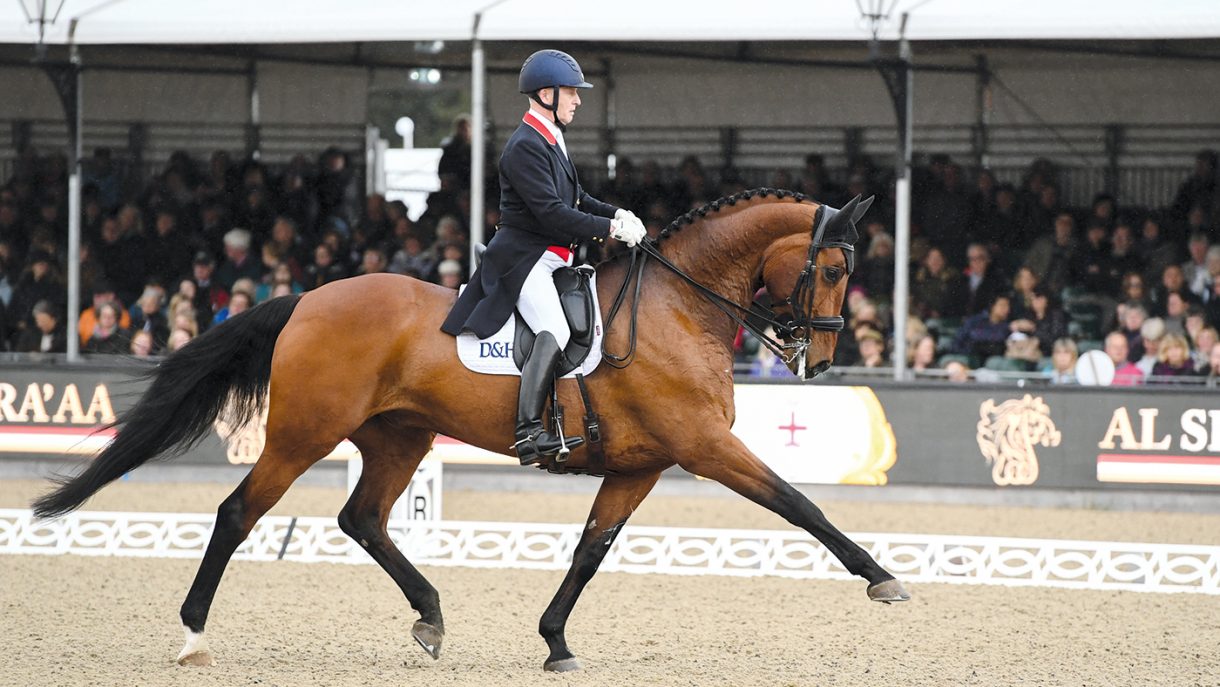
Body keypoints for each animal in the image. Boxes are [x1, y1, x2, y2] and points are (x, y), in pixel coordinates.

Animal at [33, 188, 910, 673]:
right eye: (835, 268)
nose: (820, 360)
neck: (678, 304)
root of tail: (308, 296)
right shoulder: (704, 446)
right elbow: (801, 505)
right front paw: (882, 577)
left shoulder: (640, 466)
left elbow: (589, 552)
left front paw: (555, 641)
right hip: (302, 433)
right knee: (237, 513)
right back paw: (192, 638)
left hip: (398, 436)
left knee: (362, 517)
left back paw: (429, 613)